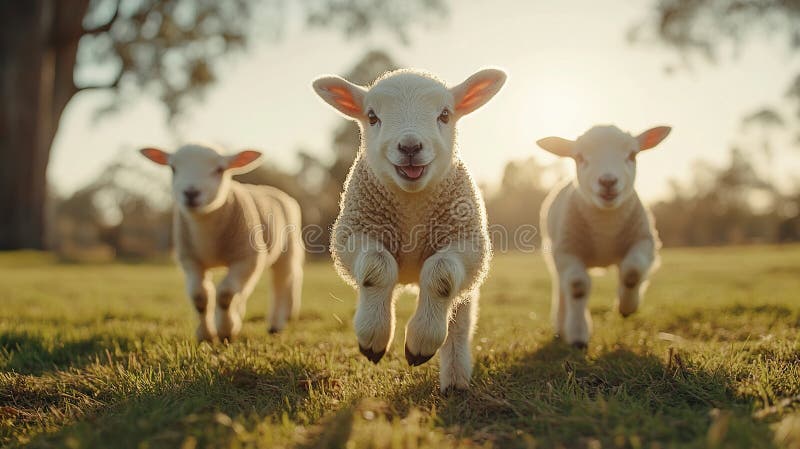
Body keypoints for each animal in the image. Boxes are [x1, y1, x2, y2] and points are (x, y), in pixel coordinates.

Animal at [139, 143, 304, 342]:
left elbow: (225, 294)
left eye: (219, 169)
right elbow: (200, 297)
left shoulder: (247, 259)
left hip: (287, 251)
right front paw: (206, 335)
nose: (191, 193)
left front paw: (226, 331)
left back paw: (276, 324)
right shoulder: (190, 260)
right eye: (173, 168)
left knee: (282, 284)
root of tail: (274, 190)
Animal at [312, 68, 506, 392]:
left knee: (459, 321)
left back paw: (455, 379)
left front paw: (420, 343)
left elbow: (441, 277)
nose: (410, 147)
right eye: (372, 116)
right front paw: (373, 338)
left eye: (444, 114)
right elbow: (376, 269)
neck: (411, 205)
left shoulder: (468, 243)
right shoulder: (353, 234)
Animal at [536, 125, 671, 348]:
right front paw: (578, 335)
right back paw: (561, 326)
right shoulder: (567, 251)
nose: (608, 181)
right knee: (563, 286)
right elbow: (577, 287)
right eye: (580, 157)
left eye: (632, 155)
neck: (605, 229)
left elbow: (632, 272)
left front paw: (627, 308)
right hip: (555, 253)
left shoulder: (645, 241)